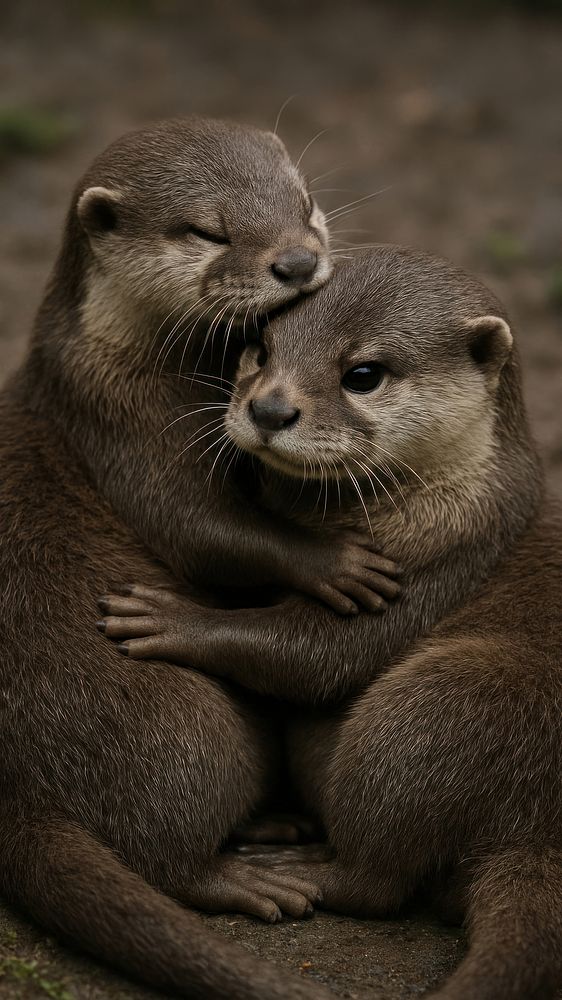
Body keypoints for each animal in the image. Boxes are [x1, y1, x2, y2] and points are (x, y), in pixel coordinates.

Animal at [0, 116, 358, 1000]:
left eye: (305, 202)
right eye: (207, 231)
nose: (296, 261)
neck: (120, 360)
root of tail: (22, 791)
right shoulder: (118, 426)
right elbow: (206, 533)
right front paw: (336, 560)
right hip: (192, 727)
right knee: (166, 855)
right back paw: (249, 879)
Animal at [101, 249, 561, 999]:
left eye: (363, 374)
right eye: (261, 348)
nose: (269, 407)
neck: (441, 504)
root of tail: (536, 828)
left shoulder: (442, 562)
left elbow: (315, 657)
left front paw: (173, 618)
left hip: (443, 703)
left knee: (379, 882)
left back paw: (298, 870)